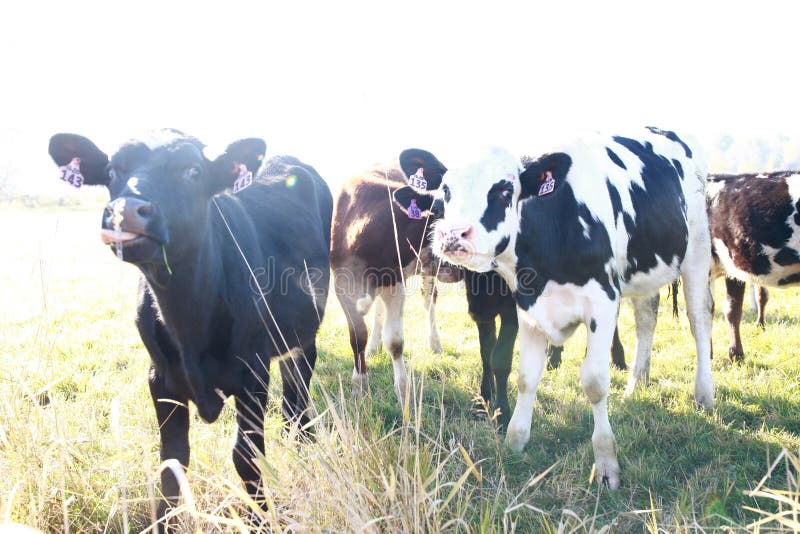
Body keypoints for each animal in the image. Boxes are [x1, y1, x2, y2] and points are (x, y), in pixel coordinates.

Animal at [48, 130, 332, 530]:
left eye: (193, 171)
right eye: (111, 170)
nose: (126, 210)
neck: (190, 318)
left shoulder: (253, 372)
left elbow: (247, 455)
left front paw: (260, 519)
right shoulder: (160, 378)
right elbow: (172, 461)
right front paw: (165, 523)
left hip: (304, 333)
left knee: (298, 390)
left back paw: (303, 441)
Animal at [393, 127, 714, 489]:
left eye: (504, 191)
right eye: (446, 190)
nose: (452, 234)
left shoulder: (603, 303)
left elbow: (594, 383)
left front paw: (606, 463)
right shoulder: (527, 307)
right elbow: (525, 376)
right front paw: (515, 440)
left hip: (697, 247)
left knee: (699, 318)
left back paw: (704, 393)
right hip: (645, 266)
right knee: (647, 316)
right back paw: (636, 383)